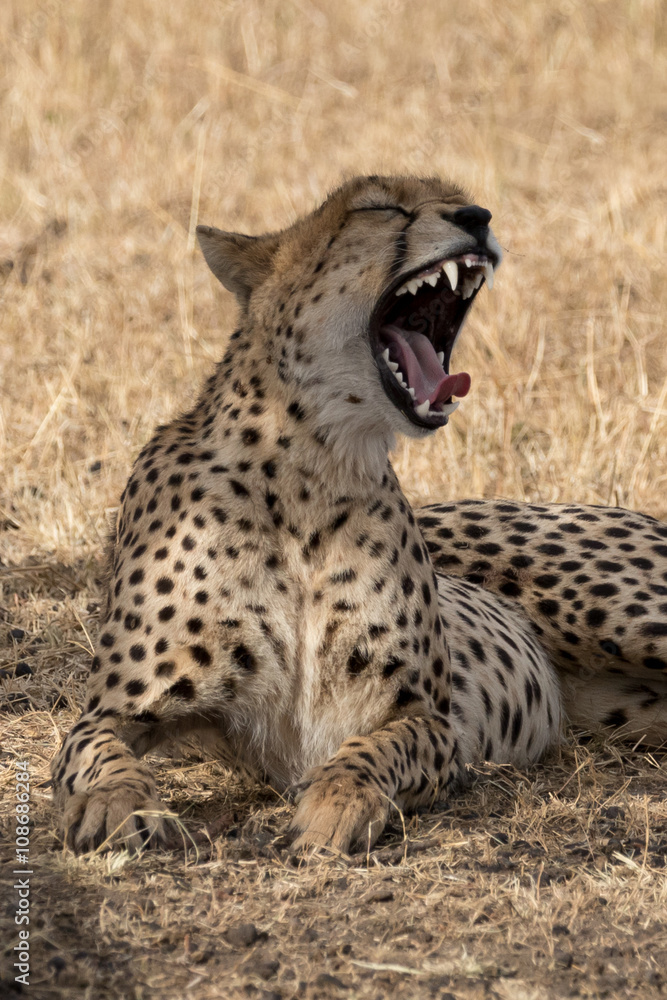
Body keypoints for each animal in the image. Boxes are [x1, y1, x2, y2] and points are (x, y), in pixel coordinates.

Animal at [51, 174, 667, 856]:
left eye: (459, 195)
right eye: (378, 207)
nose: (477, 217)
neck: (308, 473)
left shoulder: (428, 717)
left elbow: (375, 750)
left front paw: (337, 803)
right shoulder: (115, 708)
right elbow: (96, 752)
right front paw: (114, 803)